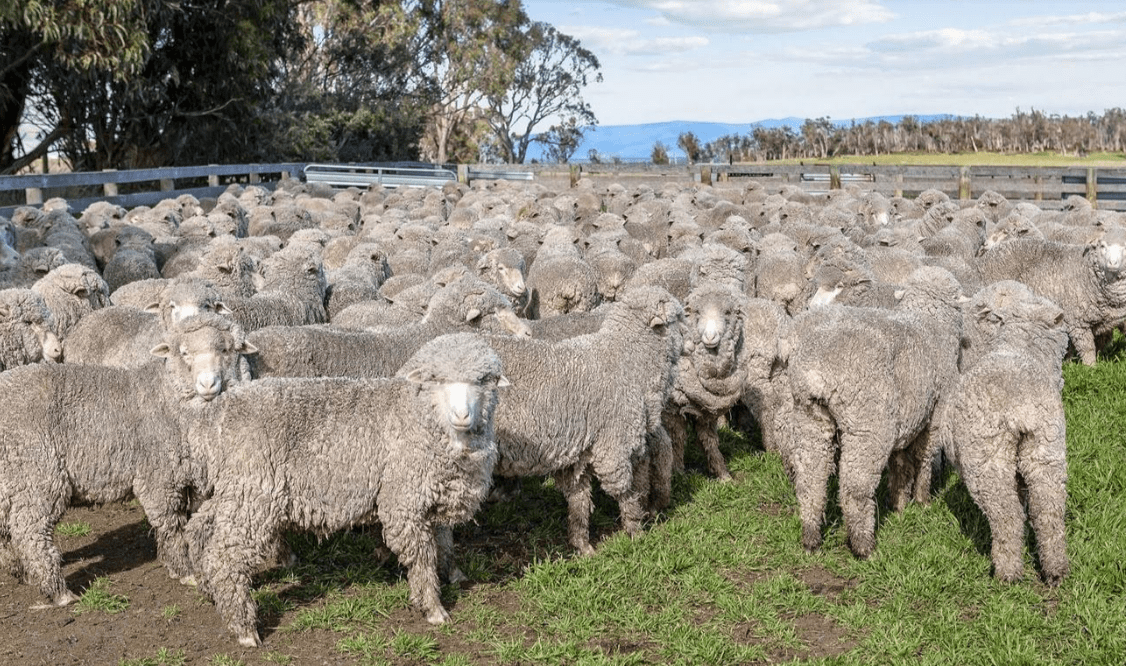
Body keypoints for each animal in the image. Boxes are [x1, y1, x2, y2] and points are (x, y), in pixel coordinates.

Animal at [0, 313, 255, 608]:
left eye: (225, 350)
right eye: (184, 353)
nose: (208, 385)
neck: (167, 396)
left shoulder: (191, 477)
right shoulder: (159, 478)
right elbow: (171, 525)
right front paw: (183, 571)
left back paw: (19, 570)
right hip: (38, 475)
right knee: (30, 532)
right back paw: (58, 591)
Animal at [186, 333, 508, 646]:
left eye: (483, 380)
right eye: (436, 380)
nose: (462, 415)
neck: (414, 415)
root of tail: (217, 417)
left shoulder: (436, 496)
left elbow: (445, 543)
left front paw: (453, 573)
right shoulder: (403, 501)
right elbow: (422, 558)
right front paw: (433, 607)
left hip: (235, 490)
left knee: (200, 528)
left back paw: (208, 587)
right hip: (254, 493)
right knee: (224, 556)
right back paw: (244, 627)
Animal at [779, 266, 965, 558]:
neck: (930, 323)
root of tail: (816, 372)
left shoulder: (907, 417)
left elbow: (900, 463)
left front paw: (899, 504)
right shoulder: (937, 411)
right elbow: (924, 458)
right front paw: (922, 500)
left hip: (810, 418)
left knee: (810, 477)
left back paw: (811, 537)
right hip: (868, 425)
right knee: (855, 488)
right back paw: (863, 545)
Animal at [931, 285, 1070, 585]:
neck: (1019, 348)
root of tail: (1022, 408)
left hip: (986, 459)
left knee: (1007, 515)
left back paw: (1007, 572)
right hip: (1047, 449)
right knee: (1048, 510)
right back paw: (1055, 569)